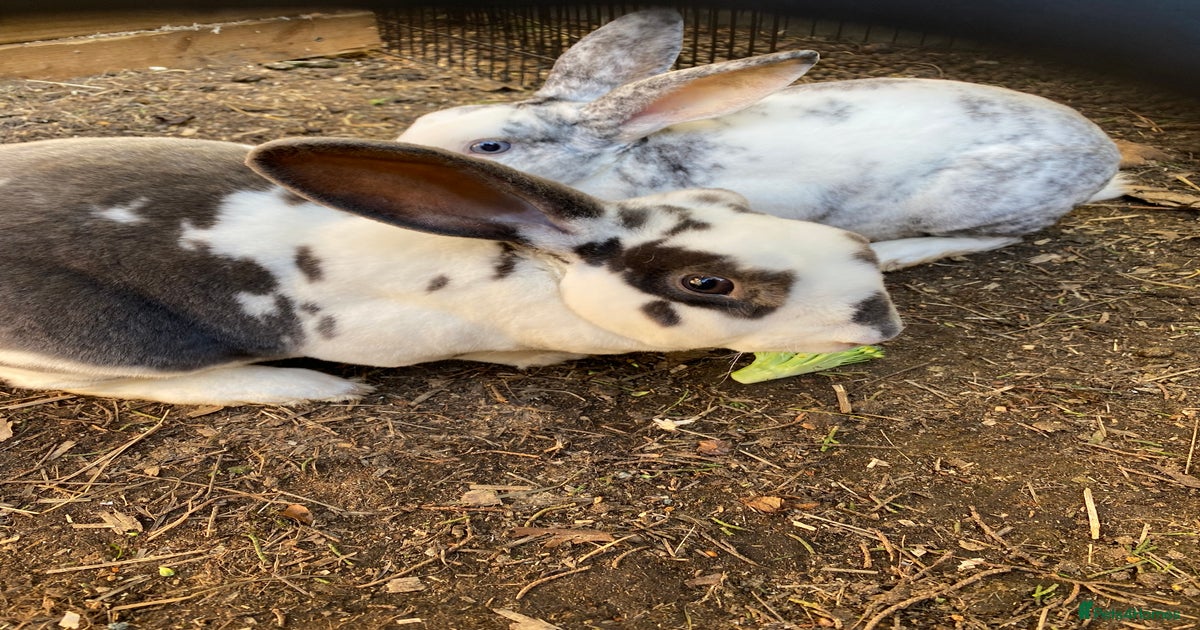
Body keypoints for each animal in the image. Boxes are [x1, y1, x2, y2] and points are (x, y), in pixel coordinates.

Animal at [0, 136, 902, 406]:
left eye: (732, 198)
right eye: (706, 284)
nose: (882, 317)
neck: (541, 266)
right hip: (119, 339)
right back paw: (307, 388)